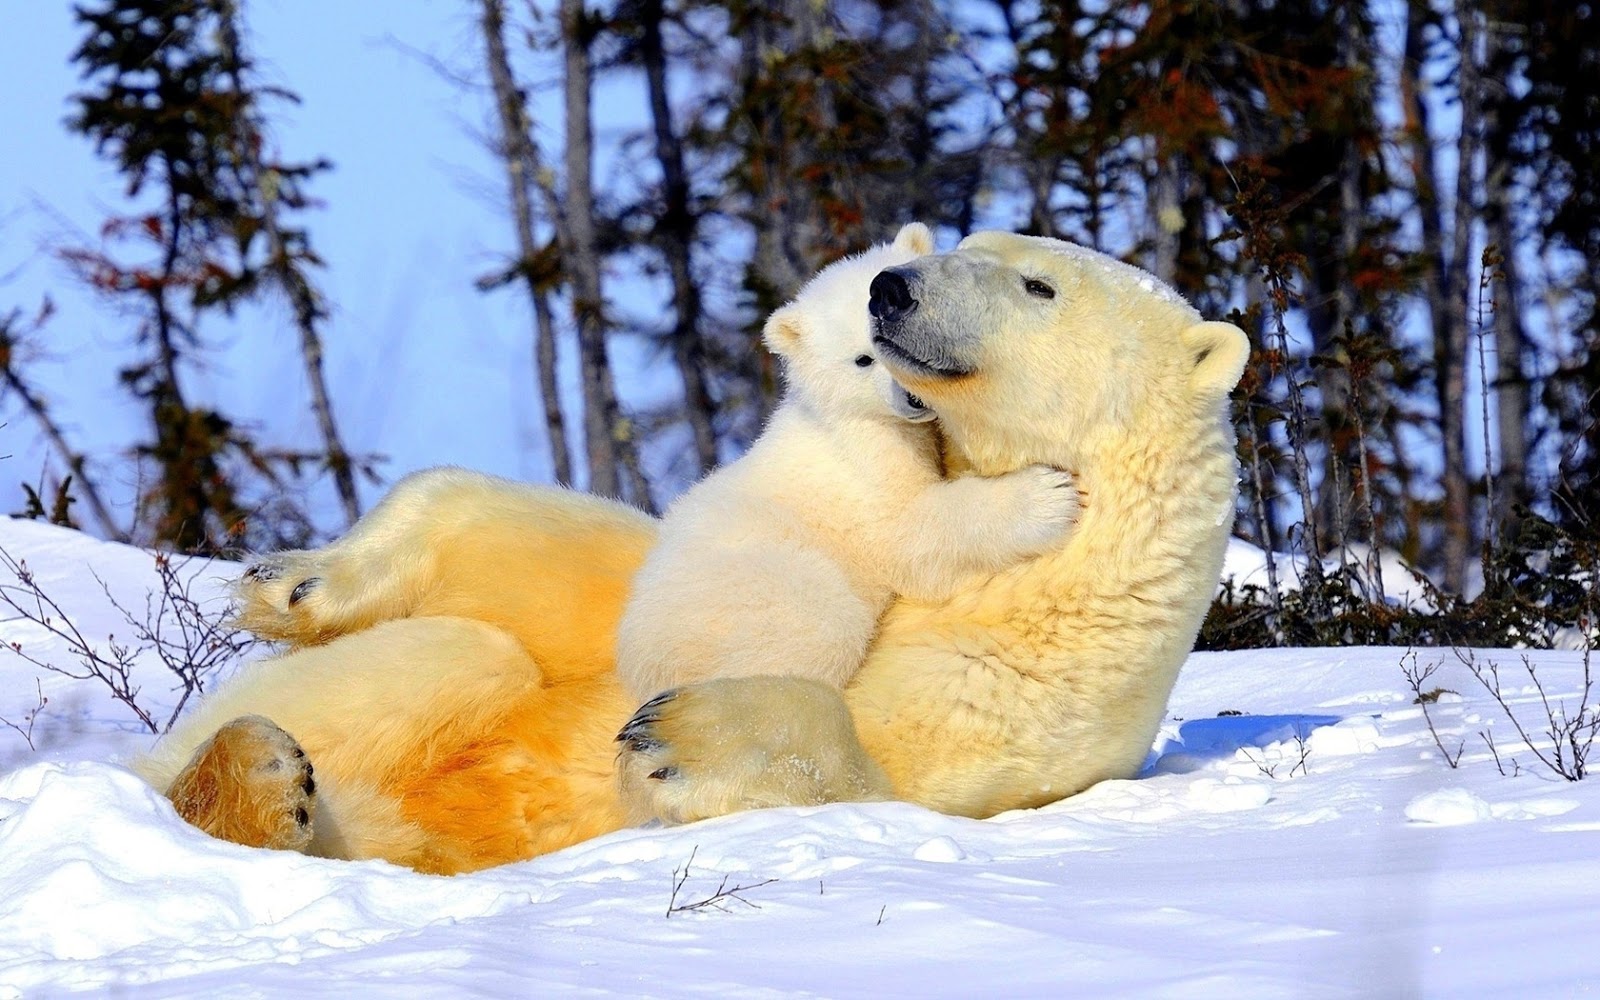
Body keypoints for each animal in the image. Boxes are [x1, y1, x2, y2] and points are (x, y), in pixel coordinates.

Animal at [617, 222, 1080, 701]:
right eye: (864, 359)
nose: (913, 398)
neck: (840, 413)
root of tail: (642, 663)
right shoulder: (865, 457)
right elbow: (908, 530)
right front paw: (1047, 496)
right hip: (764, 589)